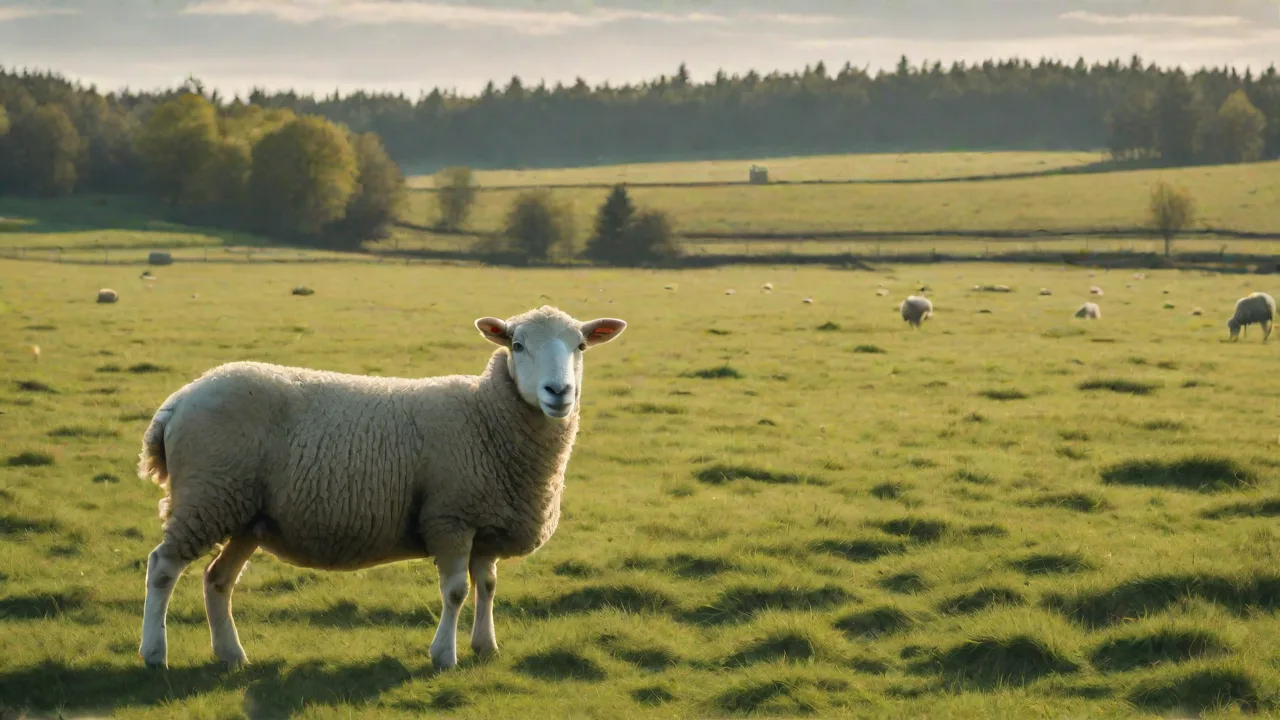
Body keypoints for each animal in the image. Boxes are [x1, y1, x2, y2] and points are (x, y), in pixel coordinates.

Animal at [135, 306, 627, 672]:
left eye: (581, 345)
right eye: (518, 345)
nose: (559, 391)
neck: (485, 415)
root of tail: (178, 401)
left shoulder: (484, 521)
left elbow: (486, 585)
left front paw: (485, 648)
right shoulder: (450, 516)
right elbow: (456, 591)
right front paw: (443, 656)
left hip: (243, 513)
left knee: (217, 579)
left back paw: (231, 655)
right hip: (207, 495)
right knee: (162, 568)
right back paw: (155, 654)